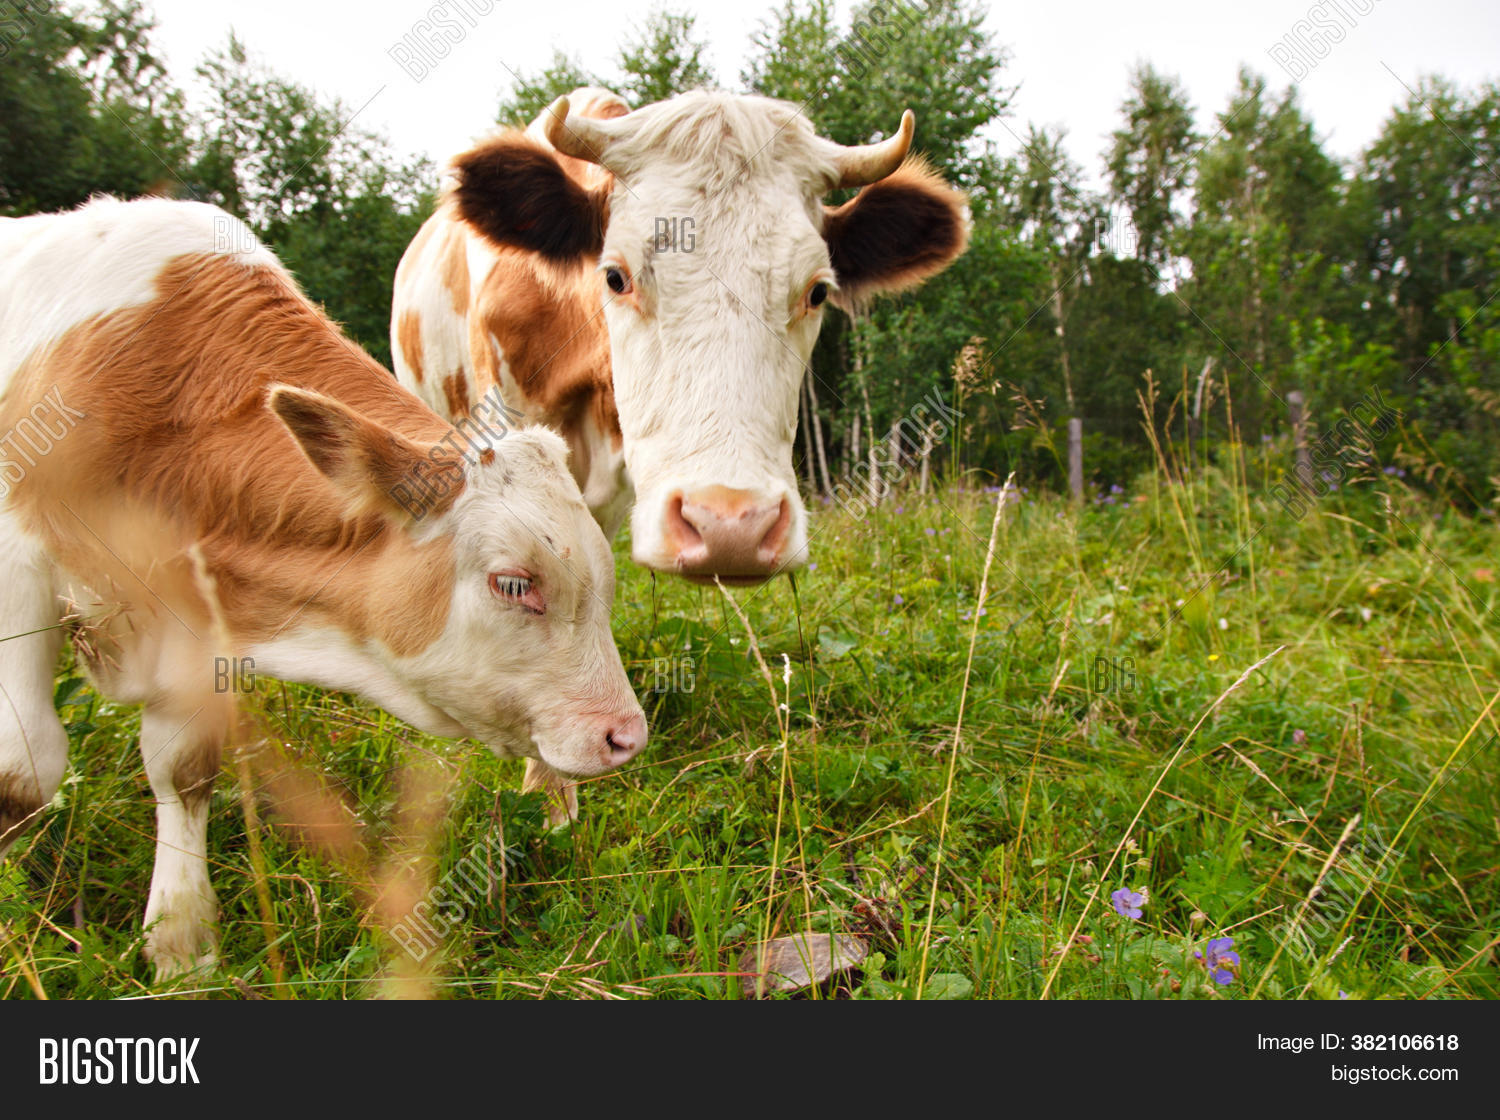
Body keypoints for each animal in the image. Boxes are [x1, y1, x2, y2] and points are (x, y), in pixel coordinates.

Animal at [0, 196, 646, 978]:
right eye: (514, 583)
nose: (626, 736)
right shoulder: (18, 562)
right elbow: (23, 769)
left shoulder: (194, 607)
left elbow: (183, 766)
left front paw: (182, 944)